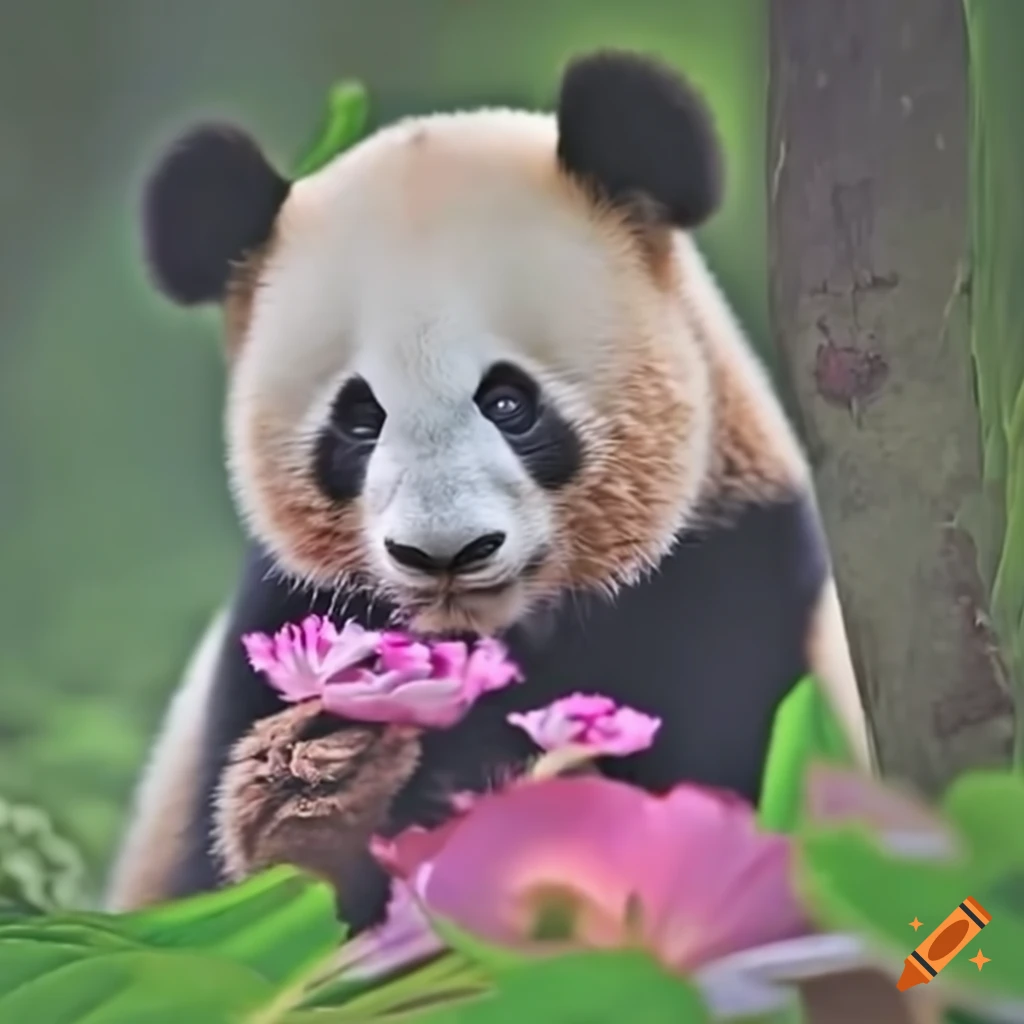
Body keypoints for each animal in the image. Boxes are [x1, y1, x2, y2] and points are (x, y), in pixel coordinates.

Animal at [106, 50, 872, 932]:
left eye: (507, 401)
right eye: (360, 419)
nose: (446, 552)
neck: (506, 636)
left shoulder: (738, 587)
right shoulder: (269, 630)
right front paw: (321, 790)